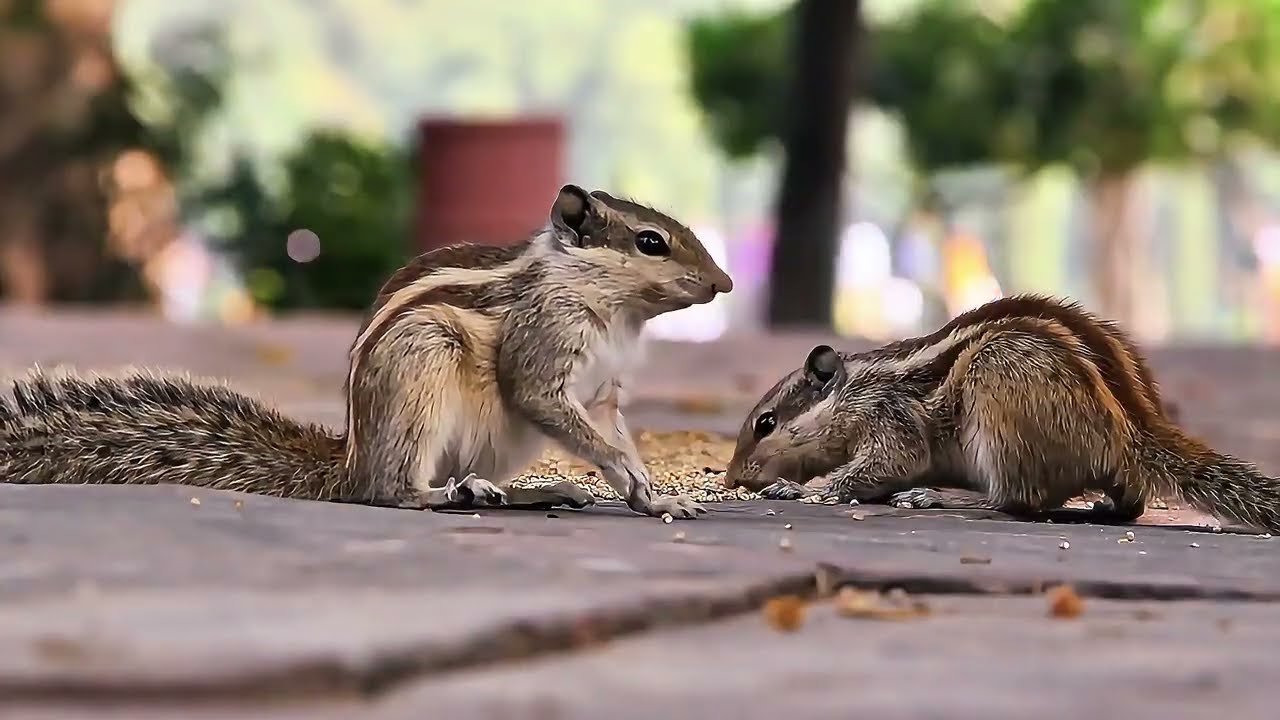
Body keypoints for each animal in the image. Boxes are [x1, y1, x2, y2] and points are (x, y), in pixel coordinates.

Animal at [0, 184, 733, 520]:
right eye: (650, 242)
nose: (724, 284)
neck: (612, 312)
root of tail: (347, 464)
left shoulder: (604, 391)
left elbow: (612, 431)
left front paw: (653, 498)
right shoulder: (542, 346)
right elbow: (546, 401)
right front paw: (632, 478)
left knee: (471, 481)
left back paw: (527, 491)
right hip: (421, 365)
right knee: (390, 491)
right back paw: (446, 493)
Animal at [722, 294, 1280, 533]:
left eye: (765, 424)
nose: (732, 480)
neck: (856, 387)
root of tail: (1134, 432)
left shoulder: (890, 418)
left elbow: (885, 463)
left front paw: (802, 488)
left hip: (998, 397)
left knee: (1015, 499)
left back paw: (938, 498)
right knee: (1129, 504)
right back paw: (1106, 506)